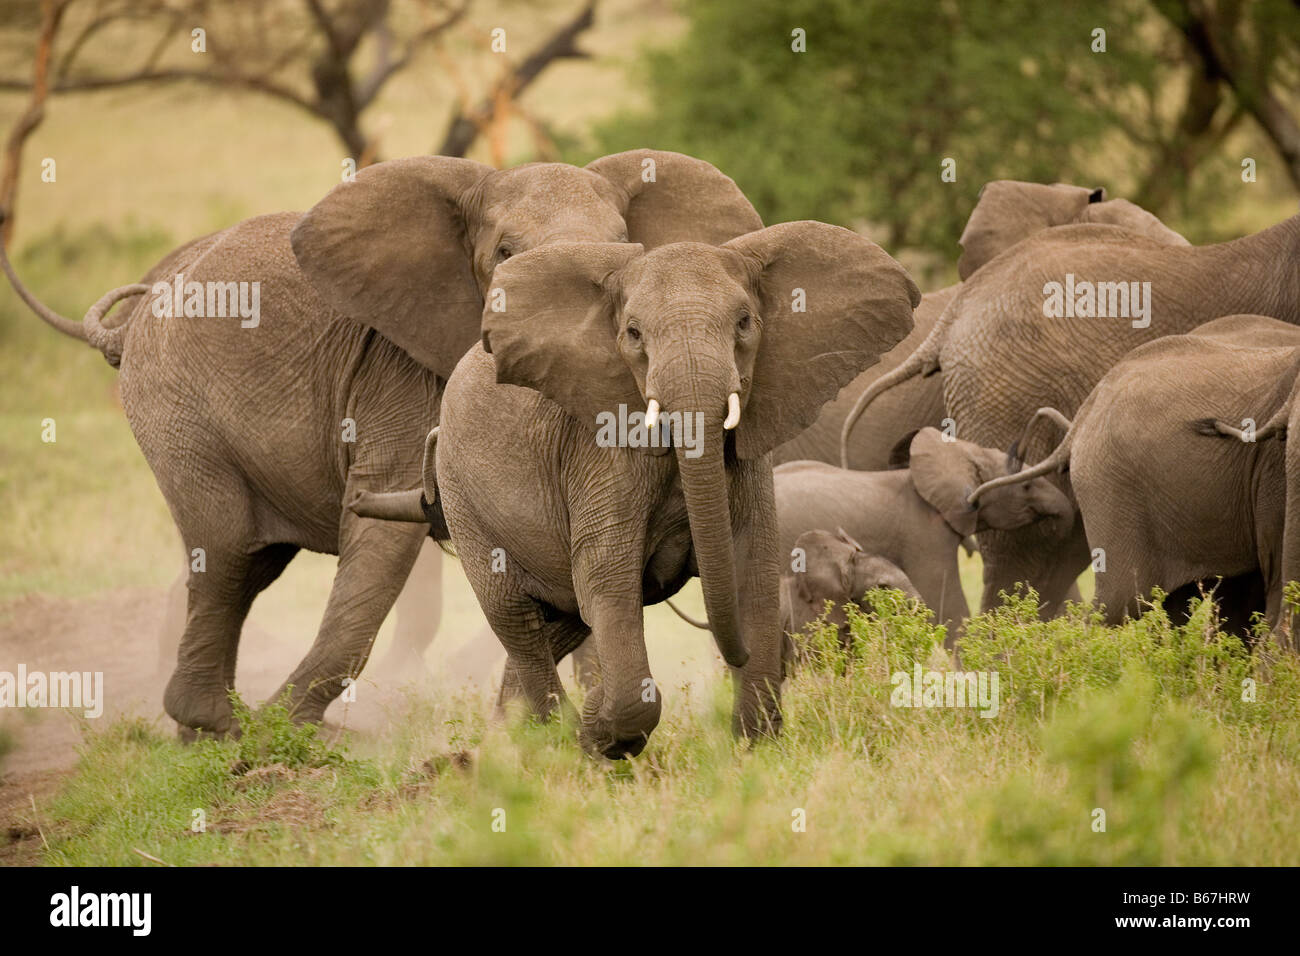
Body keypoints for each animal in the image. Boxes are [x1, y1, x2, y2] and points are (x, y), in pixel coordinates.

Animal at [0, 149, 763, 736]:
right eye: (505, 255)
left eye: (628, 248)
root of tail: (135, 318)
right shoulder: (400, 369)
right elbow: (388, 535)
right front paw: (288, 737)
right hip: (174, 407)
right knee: (225, 550)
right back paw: (225, 726)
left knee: (247, 561)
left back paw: (206, 729)